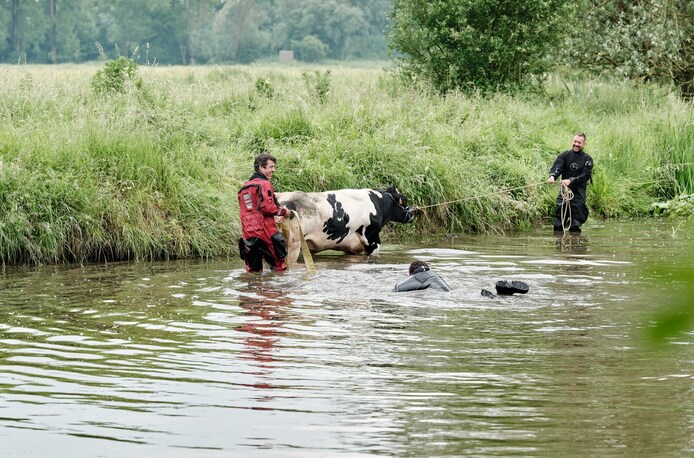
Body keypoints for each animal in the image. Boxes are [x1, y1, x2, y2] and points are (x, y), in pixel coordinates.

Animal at [276, 187, 415, 264]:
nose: (412, 214)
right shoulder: (372, 240)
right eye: (405, 200)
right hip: (293, 245)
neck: (377, 203)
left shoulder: (350, 247)